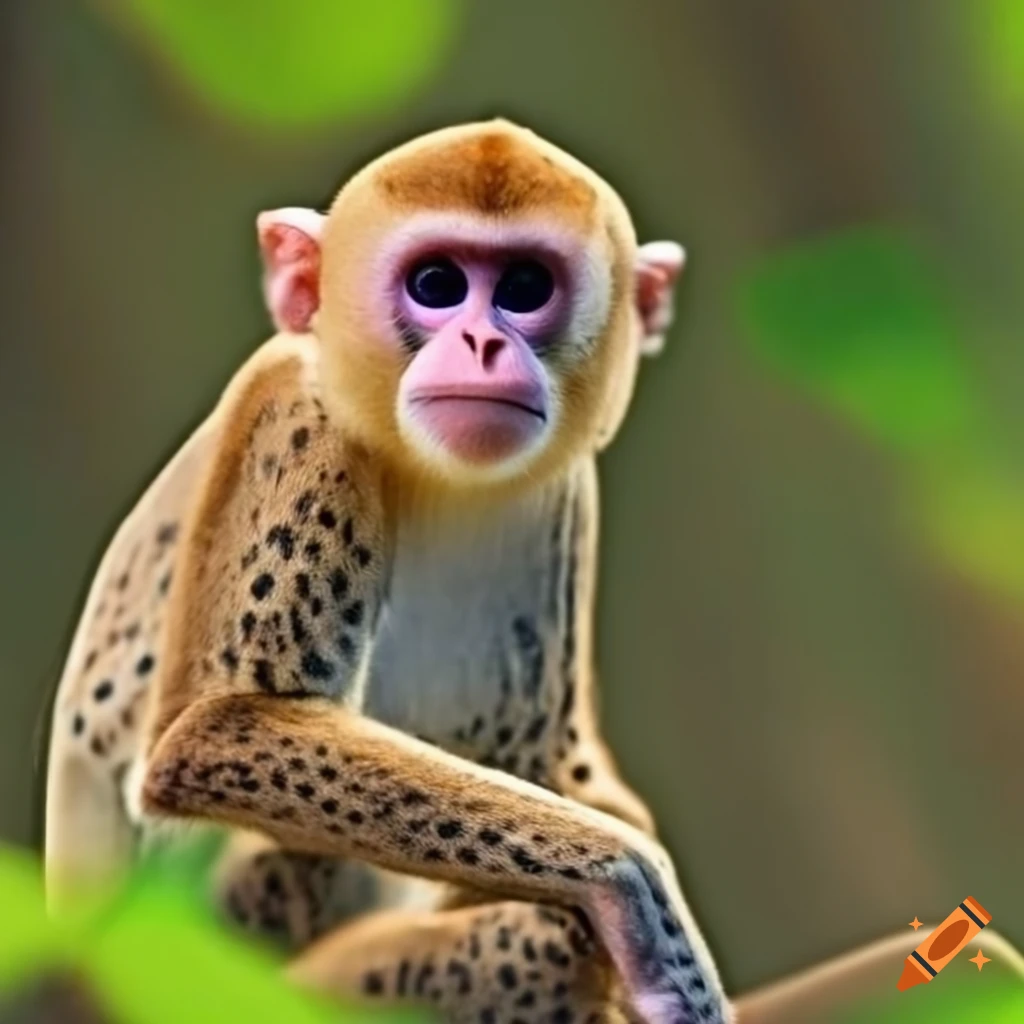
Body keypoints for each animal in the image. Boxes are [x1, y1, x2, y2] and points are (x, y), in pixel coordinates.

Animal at [43, 120, 729, 1024]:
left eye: (523, 286)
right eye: (437, 284)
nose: (483, 343)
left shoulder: (562, 494)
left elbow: (545, 758)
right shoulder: (300, 409)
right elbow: (213, 733)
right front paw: (629, 886)